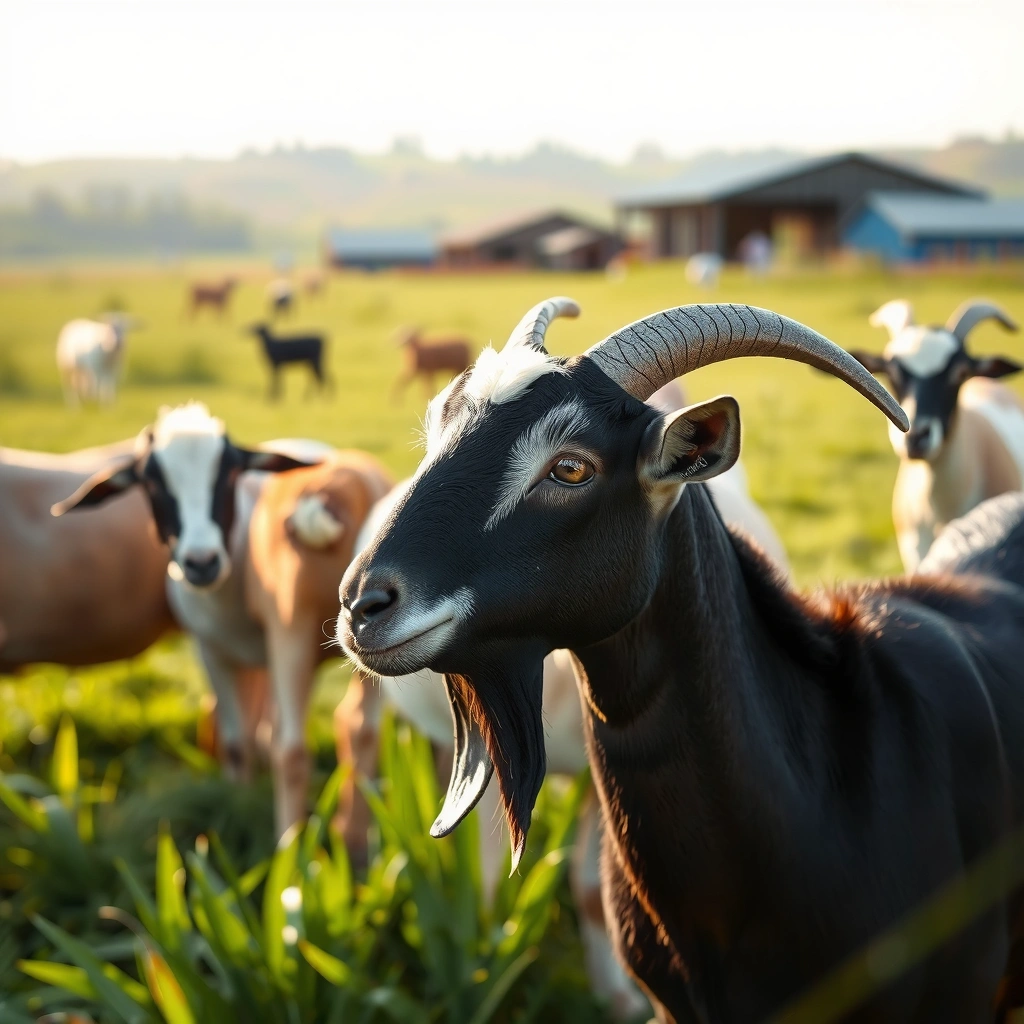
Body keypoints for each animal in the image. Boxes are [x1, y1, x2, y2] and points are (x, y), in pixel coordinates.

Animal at [52, 403, 391, 835]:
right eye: (152, 484)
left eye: (229, 473)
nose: (201, 563)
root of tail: (339, 489)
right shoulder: (221, 651)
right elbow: (242, 741)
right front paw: (242, 801)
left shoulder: (214, 651)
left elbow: (240, 743)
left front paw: (243, 809)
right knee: (357, 731)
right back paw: (352, 839)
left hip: (292, 638)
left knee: (293, 746)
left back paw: (296, 842)